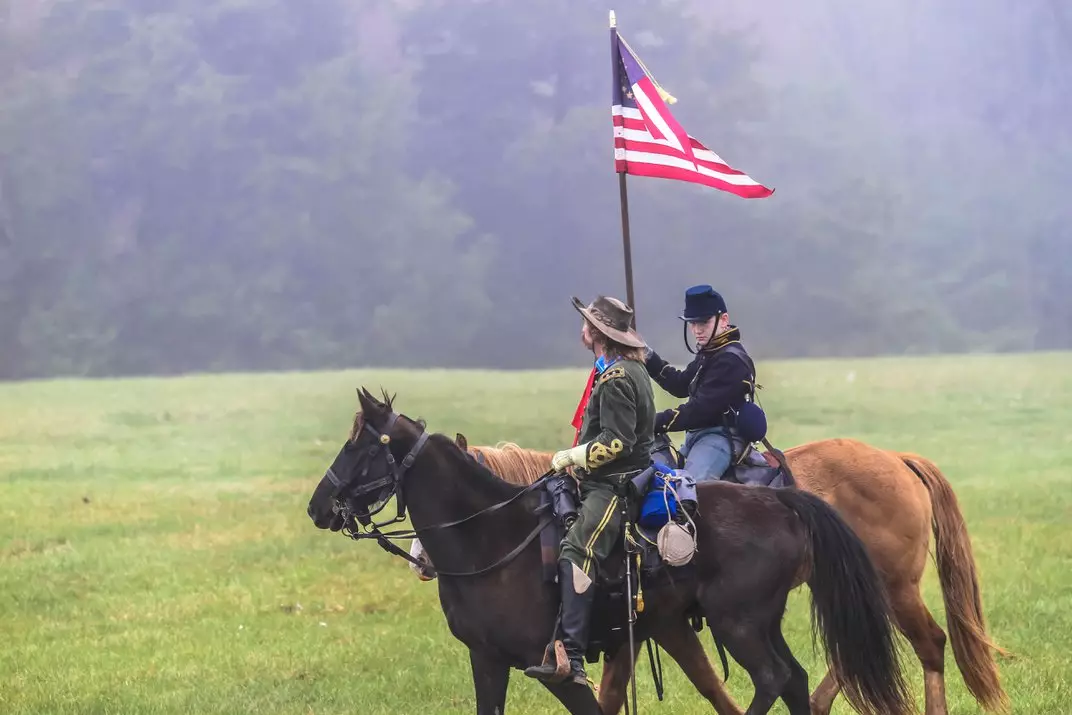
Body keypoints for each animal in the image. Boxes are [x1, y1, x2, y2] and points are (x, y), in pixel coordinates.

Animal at [306, 392, 909, 715]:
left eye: (360, 445)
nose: (317, 506)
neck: (493, 537)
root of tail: (782, 500)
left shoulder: (557, 670)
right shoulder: (489, 659)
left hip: (737, 624)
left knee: (773, 678)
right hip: (759, 622)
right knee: (795, 679)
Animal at [420, 437, 1011, 715]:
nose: (425, 561)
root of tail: (897, 459)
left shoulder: (651, 628)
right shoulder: (661, 627)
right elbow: (699, 683)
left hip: (893, 587)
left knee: (927, 643)